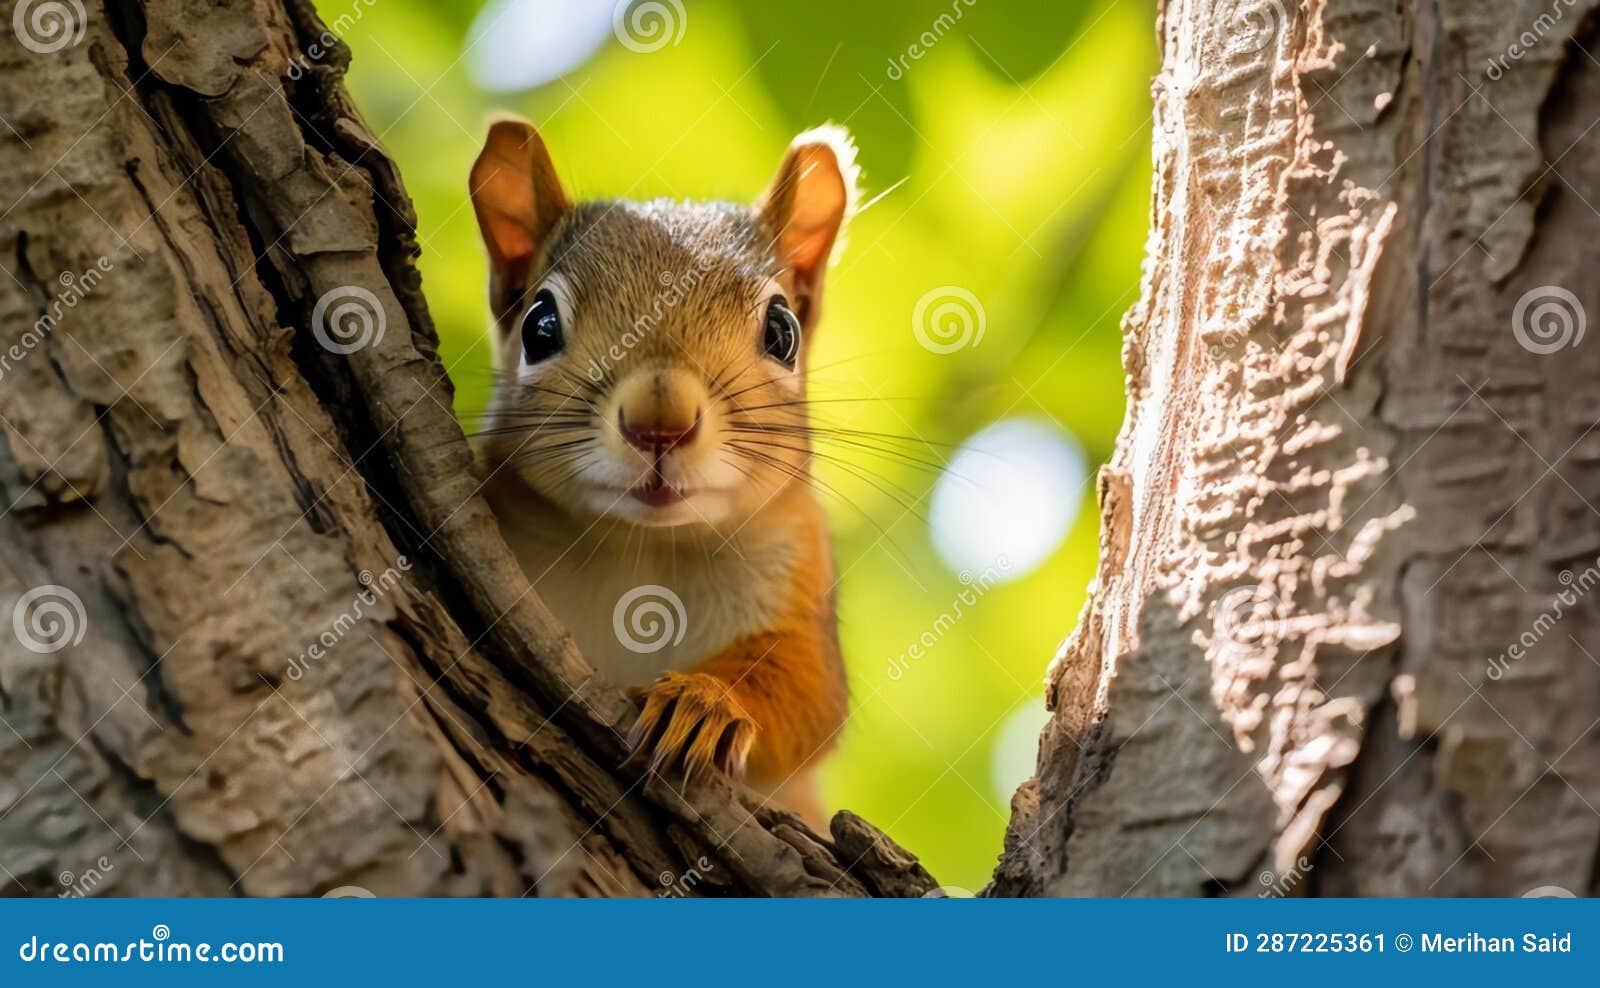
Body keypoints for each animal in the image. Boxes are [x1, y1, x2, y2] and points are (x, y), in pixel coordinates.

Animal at [468, 116, 859, 827]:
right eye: (539, 325)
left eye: (783, 331)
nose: (660, 422)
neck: (641, 548)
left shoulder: (800, 571)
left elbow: (805, 688)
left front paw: (702, 704)